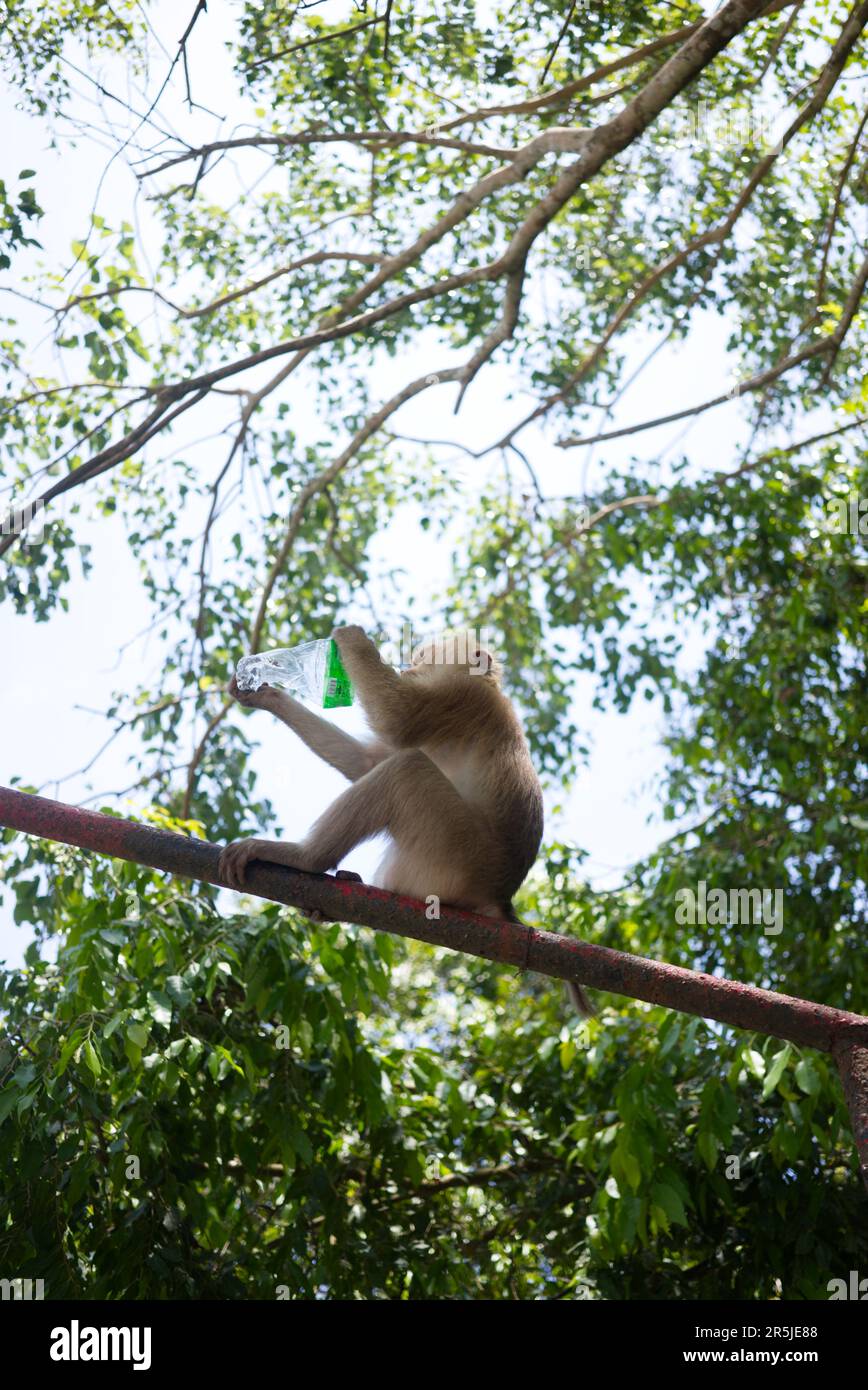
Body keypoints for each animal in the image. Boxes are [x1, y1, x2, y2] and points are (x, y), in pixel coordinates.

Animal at [218, 625, 592, 1016]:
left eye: (423, 659)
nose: (410, 669)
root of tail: (497, 895)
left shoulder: (461, 696)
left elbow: (398, 717)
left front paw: (349, 638)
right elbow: (366, 761)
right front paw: (266, 695)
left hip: (452, 850)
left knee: (405, 769)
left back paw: (306, 858)